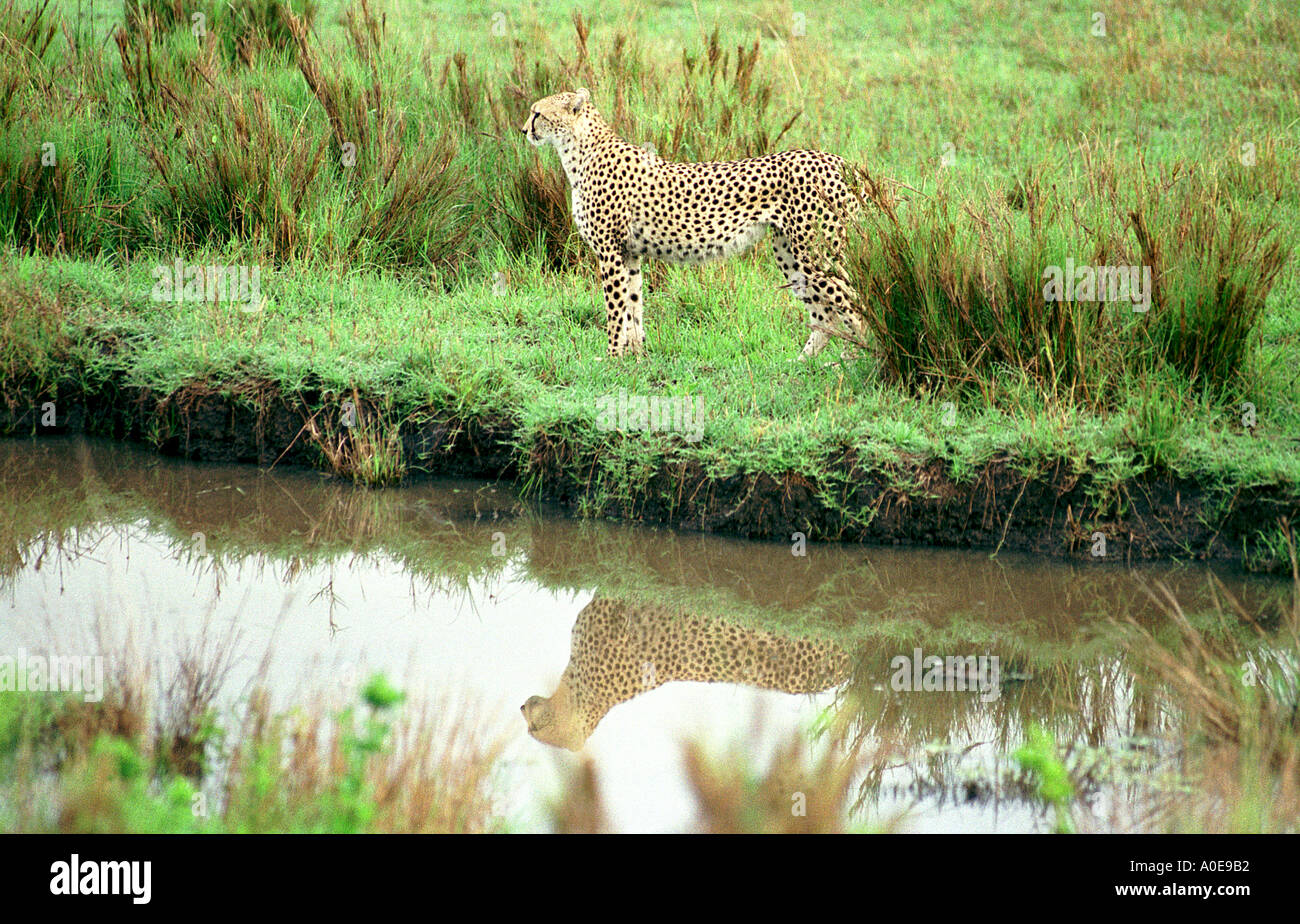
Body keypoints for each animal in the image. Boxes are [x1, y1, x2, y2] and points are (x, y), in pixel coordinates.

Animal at [521, 88, 865, 359]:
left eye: (537, 113)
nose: (524, 131)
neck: (580, 150)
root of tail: (836, 160)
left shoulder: (610, 252)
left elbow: (615, 310)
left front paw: (611, 358)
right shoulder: (630, 254)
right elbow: (634, 306)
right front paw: (636, 356)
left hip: (817, 253)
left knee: (853, 305)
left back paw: (856, 361)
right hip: (790, 252)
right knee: (825, 316)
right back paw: (802, 365)